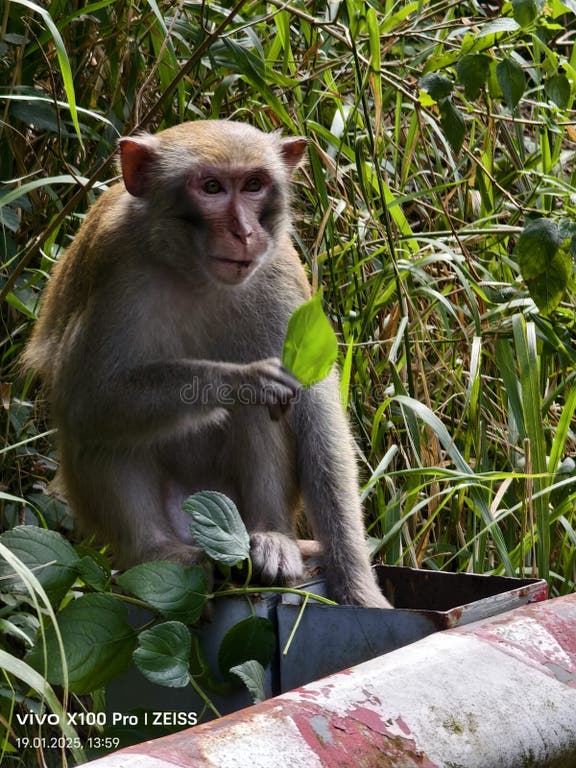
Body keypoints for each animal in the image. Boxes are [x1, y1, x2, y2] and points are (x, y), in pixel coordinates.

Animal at [23, 120, 391, 609]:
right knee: (103, 433)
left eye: (253, 185)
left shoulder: (279, 270)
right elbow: (86, 399)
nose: (244, 232)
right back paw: (158, 550)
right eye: (212, 188)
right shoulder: (112, 262)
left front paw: (357, 585)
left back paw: (271, 537)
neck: (194, 272)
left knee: (263, 421)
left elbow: (316, 415)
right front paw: (242, 381)